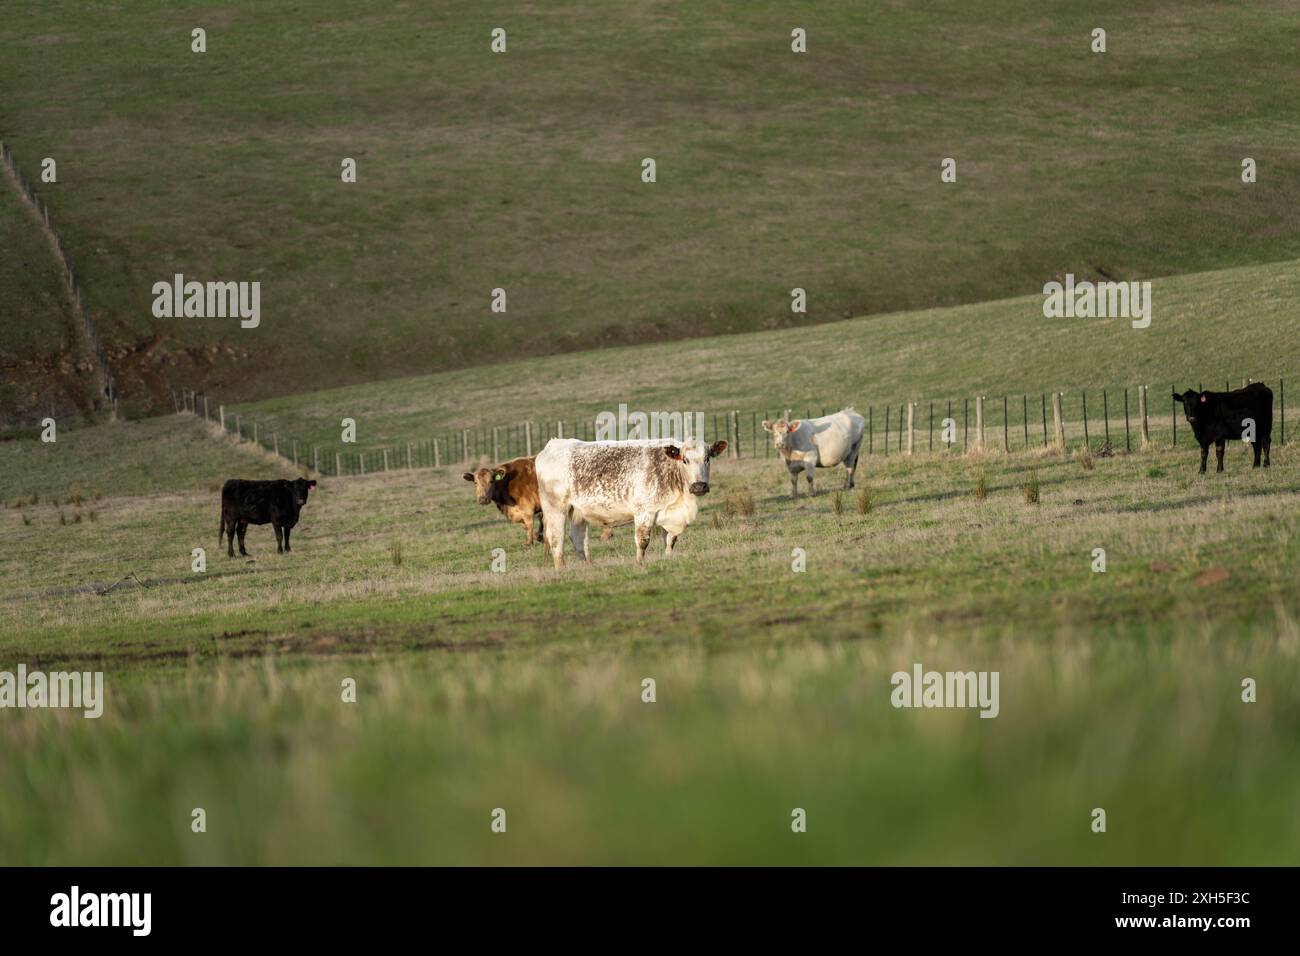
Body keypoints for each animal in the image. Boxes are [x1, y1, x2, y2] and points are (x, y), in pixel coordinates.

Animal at [534, 437, 727, 569]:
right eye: (685, 460)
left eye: (708, 458)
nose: (699, 486)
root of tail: (552, 445)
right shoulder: (644, 512)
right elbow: (643, 541)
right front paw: (640, 563)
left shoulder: (670, 514)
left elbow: (670, 540)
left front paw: (668, 558)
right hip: (555, 509)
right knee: (556, 540)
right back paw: (561, 569)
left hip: (578, 513)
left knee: (579, 540)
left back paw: (589, 566)